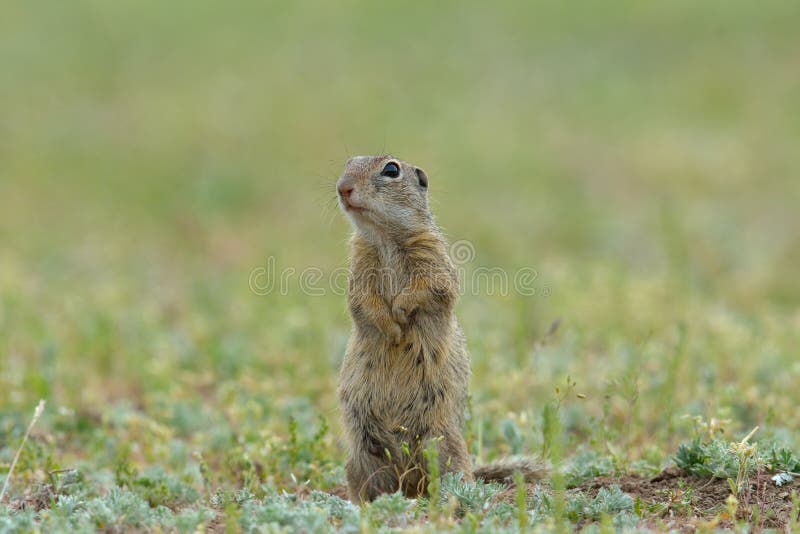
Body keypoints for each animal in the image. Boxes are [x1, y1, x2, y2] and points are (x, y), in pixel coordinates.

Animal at [335, 155, 544, 503]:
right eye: (348, 163)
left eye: (391, 169)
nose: (343, 187)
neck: (383, 236)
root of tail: (408, 482)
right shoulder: (360, 262)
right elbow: (363, 300)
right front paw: (391, 327)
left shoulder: (432, 254)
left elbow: (432, 287)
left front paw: (400, 313)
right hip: (361, 453)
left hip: (443, 445)